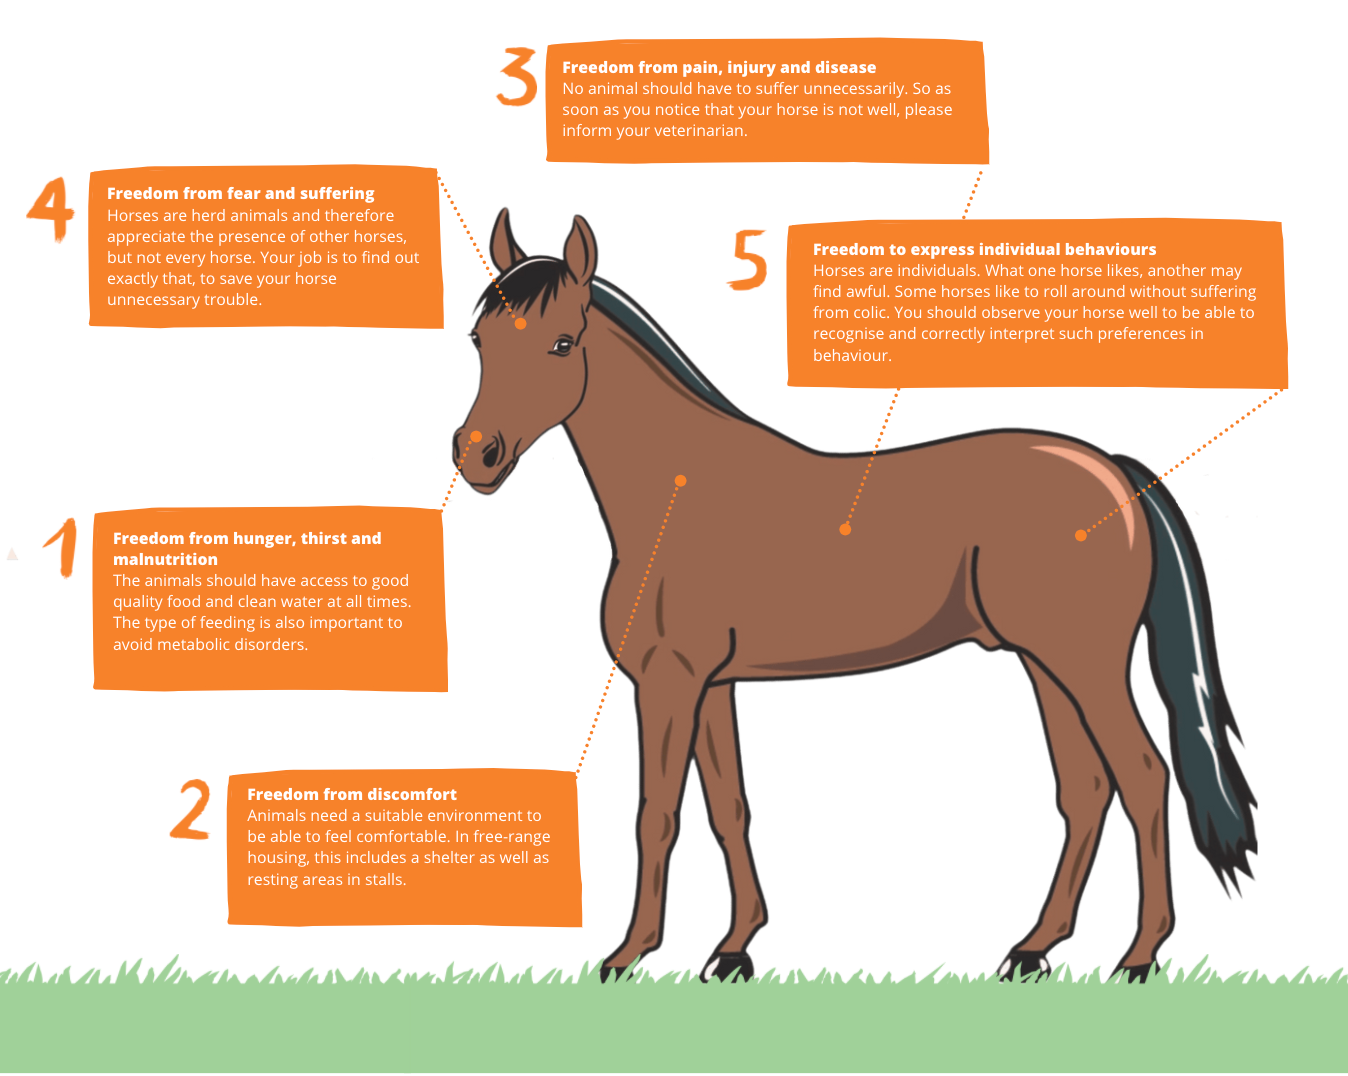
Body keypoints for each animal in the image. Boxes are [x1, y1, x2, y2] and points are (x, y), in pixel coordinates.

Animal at [453, 209, 1257, 984]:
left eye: (562, 344)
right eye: (479, 339)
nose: (477, 454)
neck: (680, 494)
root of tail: (1116, 474)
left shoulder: (668, 684)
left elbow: (658, 815)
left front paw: (628, 954)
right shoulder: (711, 685)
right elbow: (728, 808)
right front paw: (735, 949)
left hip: (1085, 666)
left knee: (1143, 778)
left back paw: (1140, 955)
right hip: (1045, 665)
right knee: (1087, 788)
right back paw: (1033, 949)